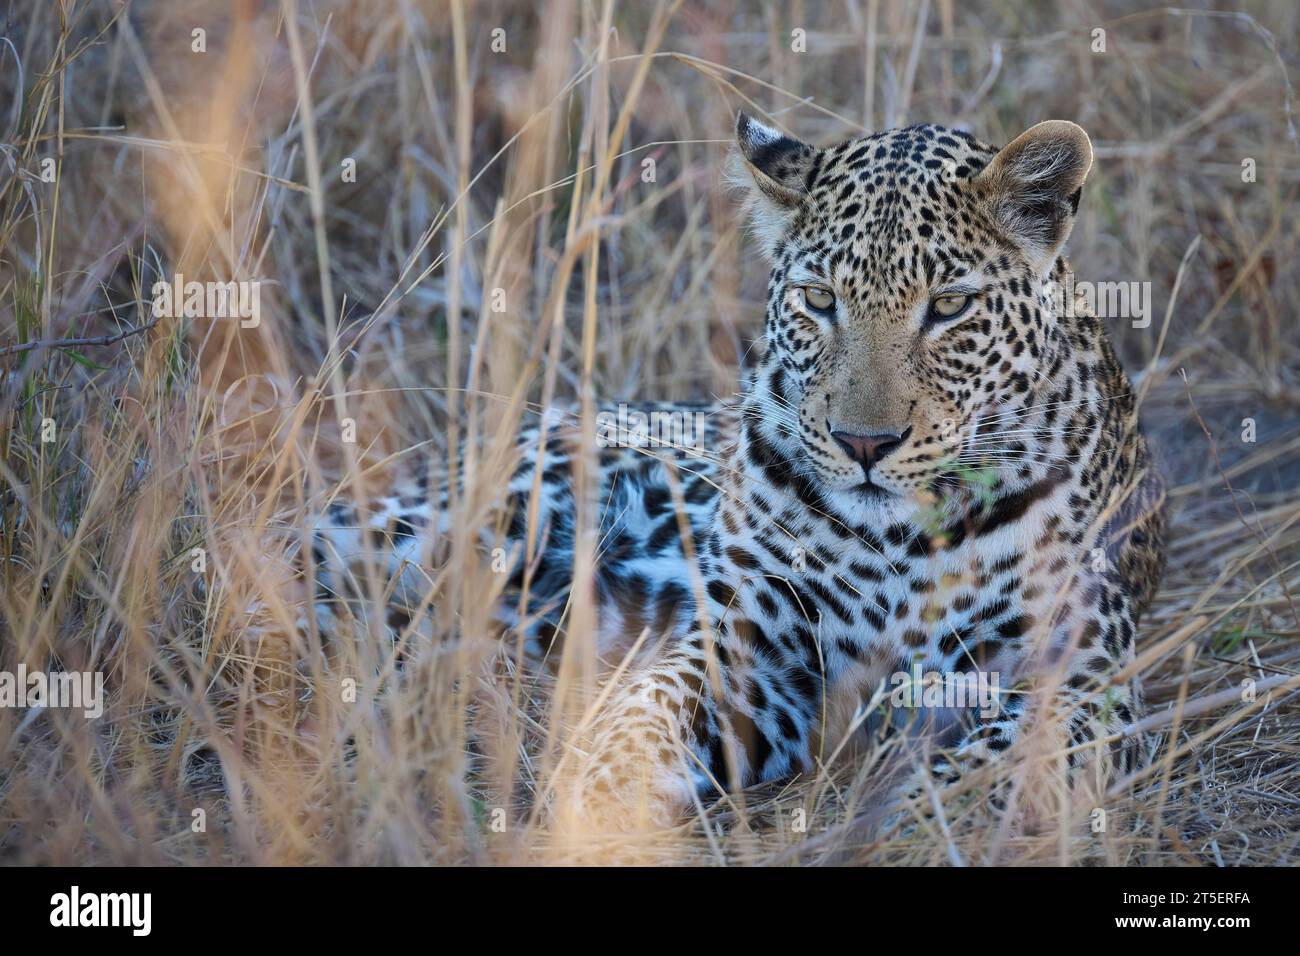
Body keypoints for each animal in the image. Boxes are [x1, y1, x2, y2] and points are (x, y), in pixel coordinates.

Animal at [309, 112, 1167, 832]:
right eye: (819, 299)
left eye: (951, 307)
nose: (864, 443)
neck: (902, 542)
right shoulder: (751, 638)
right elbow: (646, 712)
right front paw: (600, 792)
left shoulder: (1083, 674)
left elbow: (999, 763)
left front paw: (911, 820)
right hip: (490, 517)